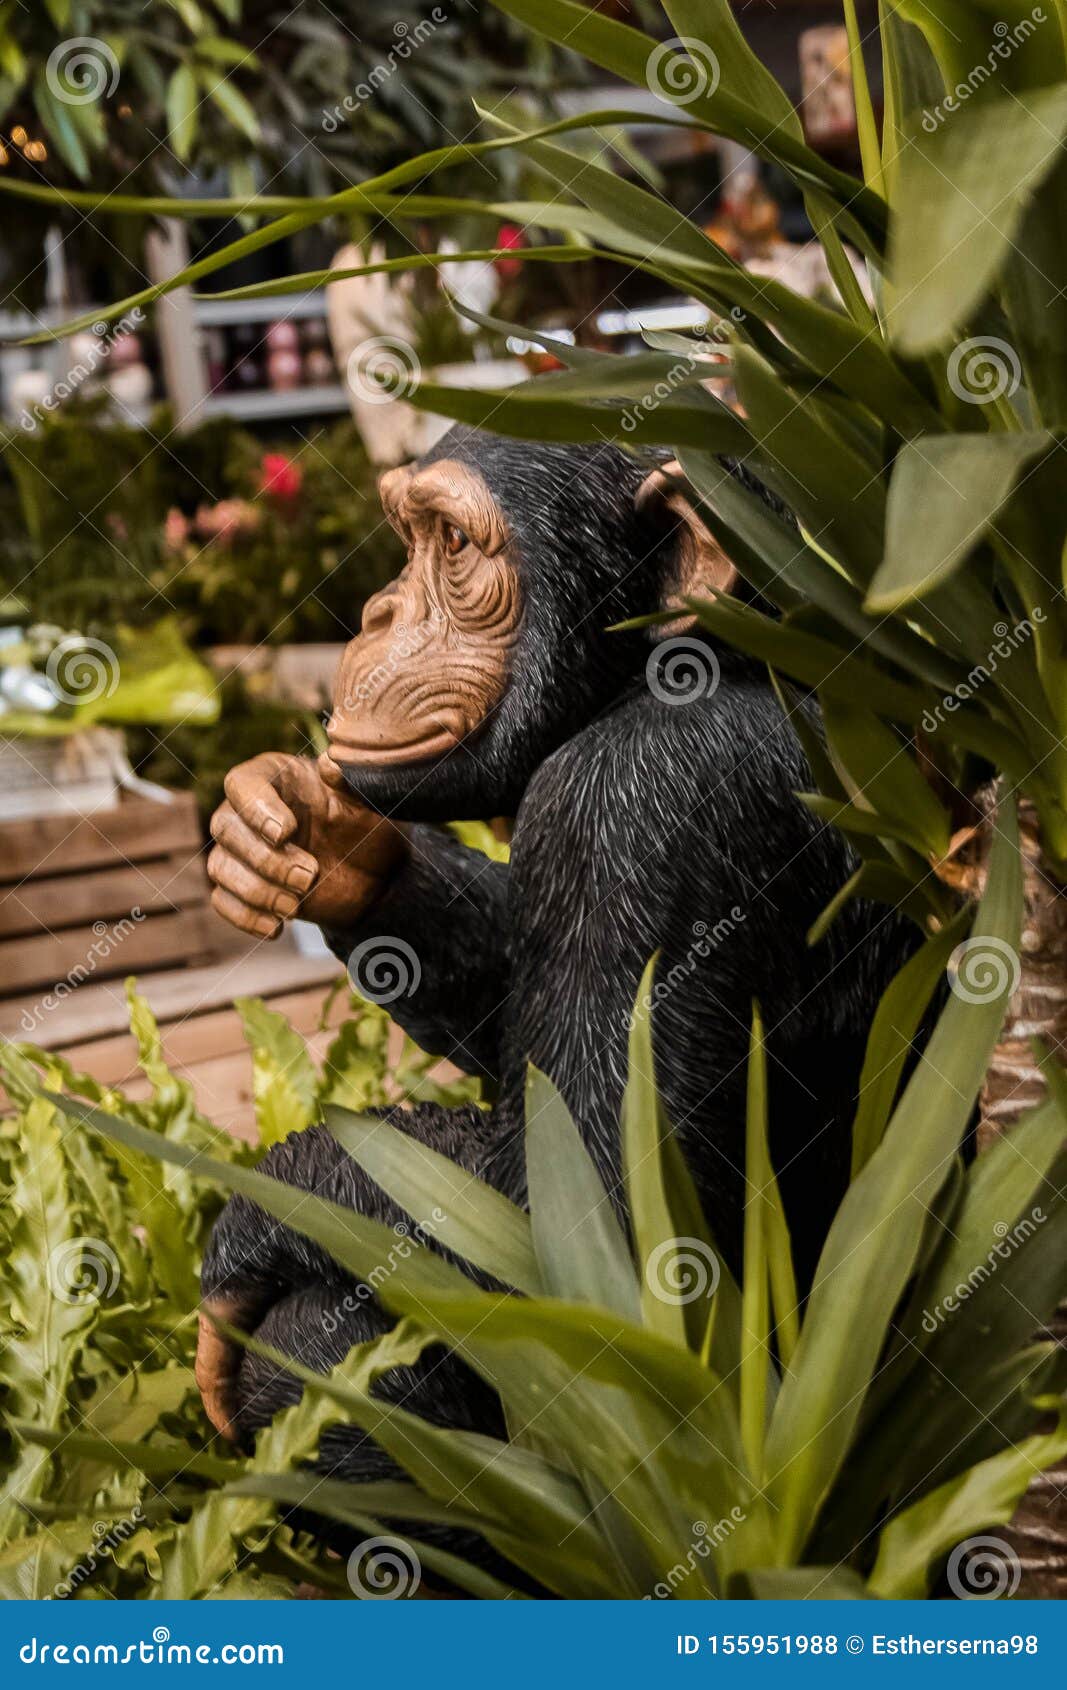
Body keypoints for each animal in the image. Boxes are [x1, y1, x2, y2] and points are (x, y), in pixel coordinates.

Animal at [197, 426, 917, 1494]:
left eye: (454, 543)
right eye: (408, 536)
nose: (378, 610)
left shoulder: (637, 808)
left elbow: (581, 1244)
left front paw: (256, 1214)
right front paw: (326, 840)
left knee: (320, 1347)